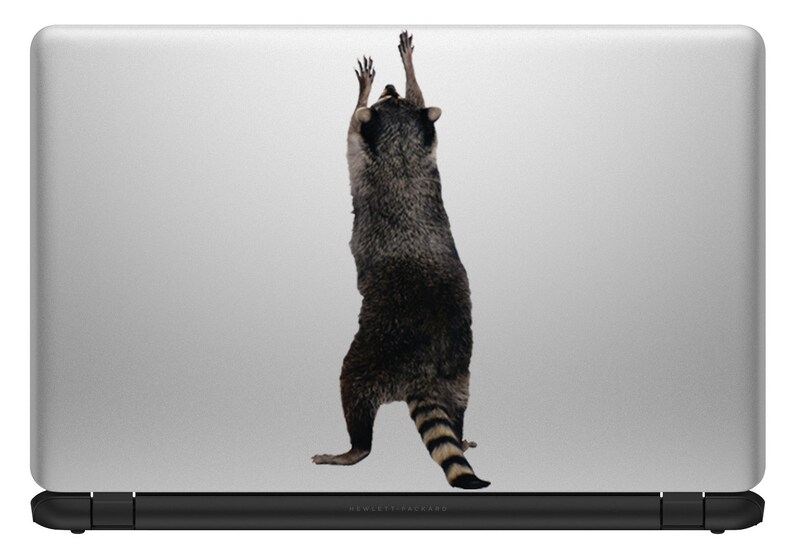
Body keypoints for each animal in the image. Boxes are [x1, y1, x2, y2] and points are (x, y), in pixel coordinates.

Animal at [312, 31, 489, 490]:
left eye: (387, 101)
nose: (390, 86)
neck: (403, 149)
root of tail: (423, 372)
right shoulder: (428, 148)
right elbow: (427, 107)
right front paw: (408, 72)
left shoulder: (361, 153)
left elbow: (349, 127)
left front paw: (366, 89)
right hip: (459, 369)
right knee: (458, 405)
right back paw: (459, 435)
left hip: (374, 353)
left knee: (352, 387)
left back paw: (354, 449)